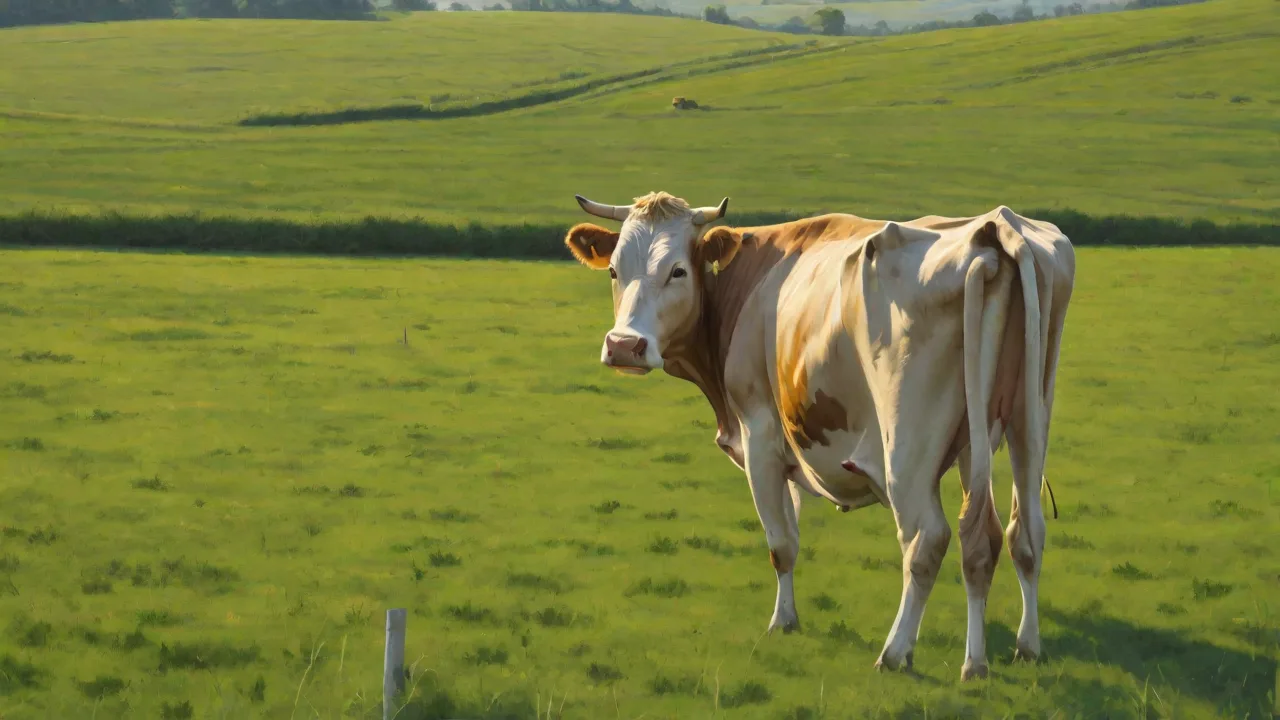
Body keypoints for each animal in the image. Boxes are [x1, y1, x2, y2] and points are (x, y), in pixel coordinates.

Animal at [563, 191, 1075, 680]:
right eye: (614, 270)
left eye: (677, 270)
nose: (624, 346)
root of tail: (992, 231)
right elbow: (793, 525)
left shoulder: (760, 436)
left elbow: (780, 542)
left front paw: (783, 621)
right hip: (1022, 425)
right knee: (1014, 534)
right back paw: (1008, 652)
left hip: (906, 451)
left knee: (927, 540)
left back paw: (897, 652)